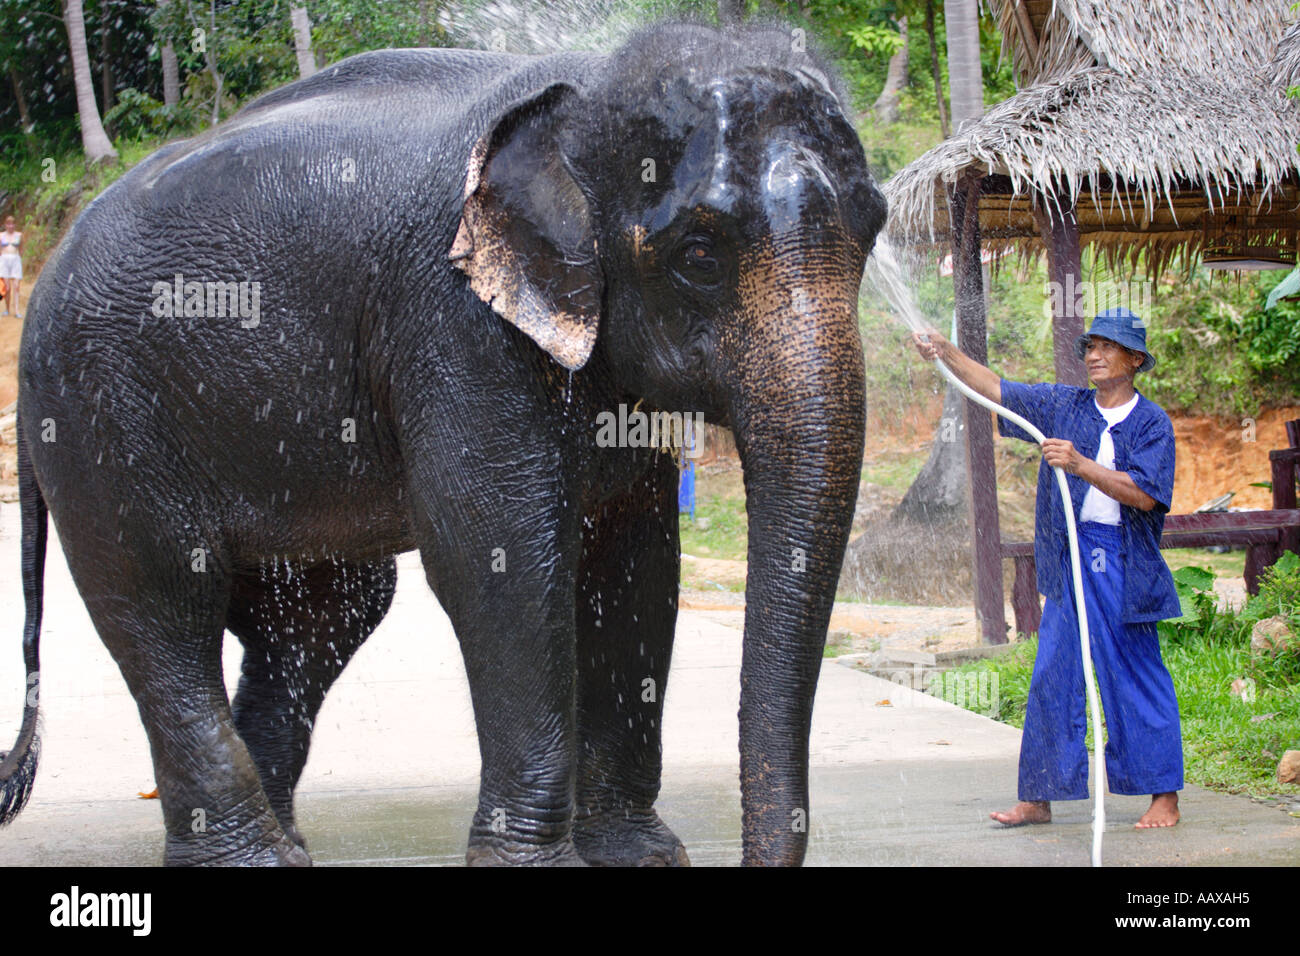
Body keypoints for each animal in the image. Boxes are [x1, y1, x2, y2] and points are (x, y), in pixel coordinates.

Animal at [0, 20, 886, 866]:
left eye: (874, 231)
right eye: (699, 258)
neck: (584, 90)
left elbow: (637, 563)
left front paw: (640, 857)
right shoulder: (454, 324)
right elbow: (499, 557)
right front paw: (539, 866)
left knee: (326, 615)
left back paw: (287, 846)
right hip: (99, 412)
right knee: (163, 602)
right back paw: (252, 858)